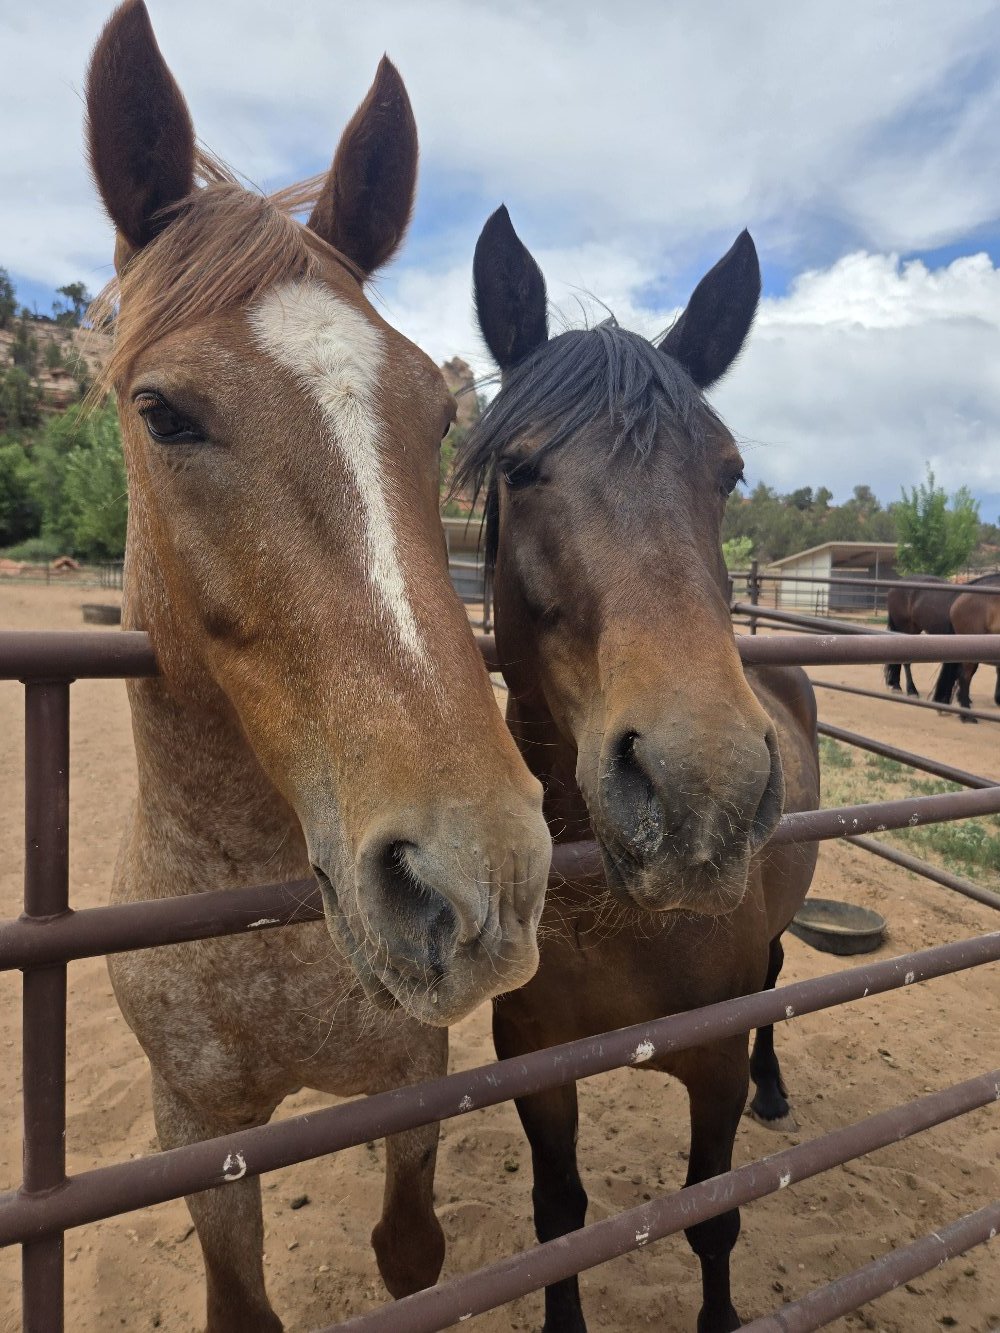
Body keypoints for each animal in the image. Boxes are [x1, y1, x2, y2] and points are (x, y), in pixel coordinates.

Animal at [85, 7, 550, 1329]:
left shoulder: (410, 1077)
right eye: (163, 411)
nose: (477, 875)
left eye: (436, 414)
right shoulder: (197, 1130)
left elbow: (409, 1250)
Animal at [456, 207, 819, 1333]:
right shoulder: (534, 1064)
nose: (701, 790)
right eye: (521, 466)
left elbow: (712, 1216)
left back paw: (778, 1086)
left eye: (729, 472)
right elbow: (559, 1220)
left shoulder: (711, 1064)